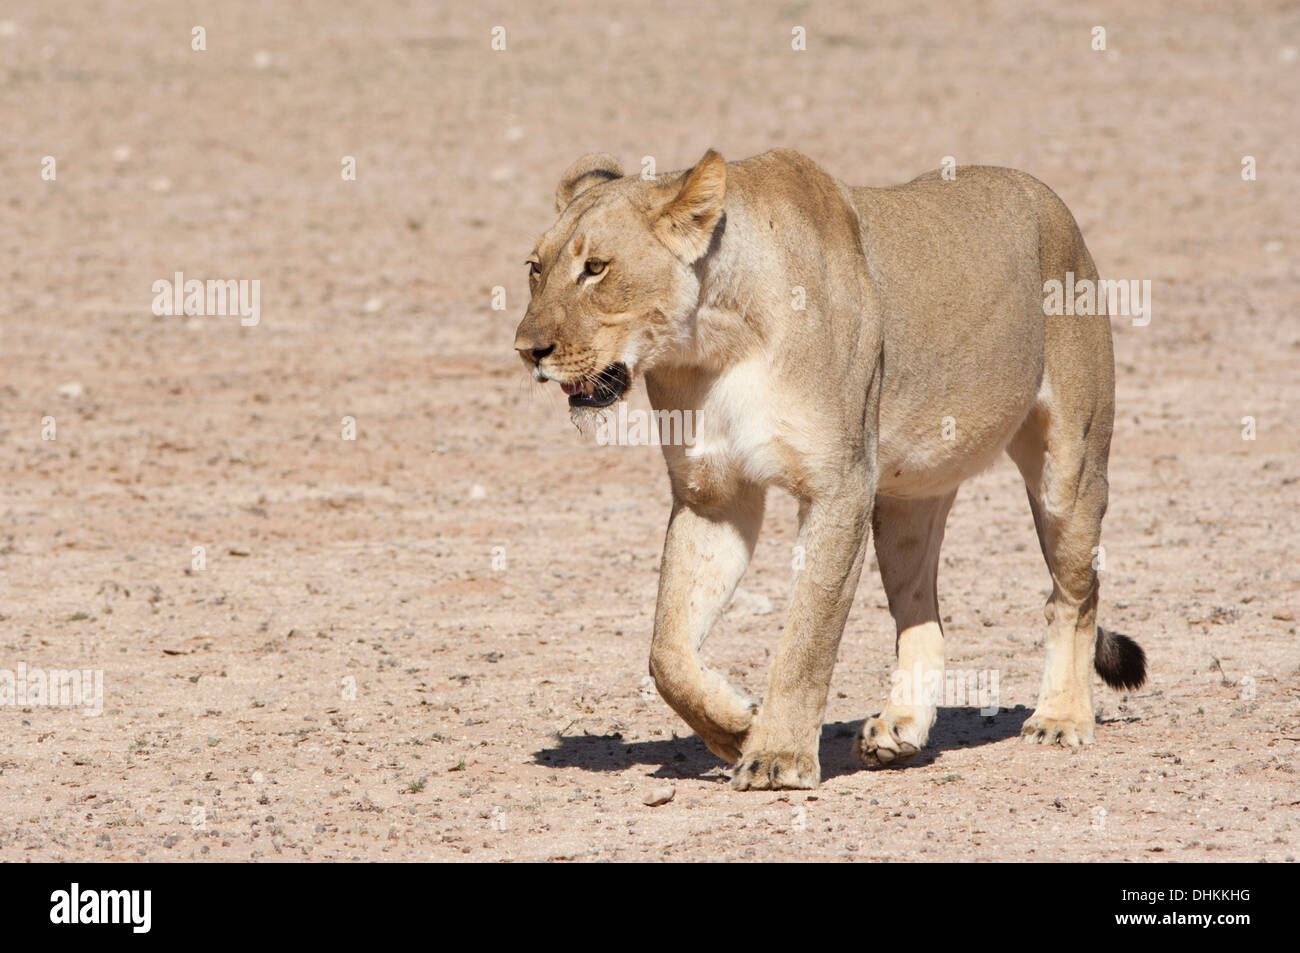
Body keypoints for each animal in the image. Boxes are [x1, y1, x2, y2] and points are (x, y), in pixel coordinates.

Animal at [514, 148, 1146, 790]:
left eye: (595, 268)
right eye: (534, 269)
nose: (526, 350)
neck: (714, 340)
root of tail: (1048, 199)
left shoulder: (840, 486)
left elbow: (808, 636)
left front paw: (778, 756)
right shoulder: (712, 496)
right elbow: (666, 649)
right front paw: (736, 727)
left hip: (1070, 470)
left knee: (1074, 595)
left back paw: (1061, 717)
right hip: (907, 504)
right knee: (923, 615)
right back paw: (900, 728)